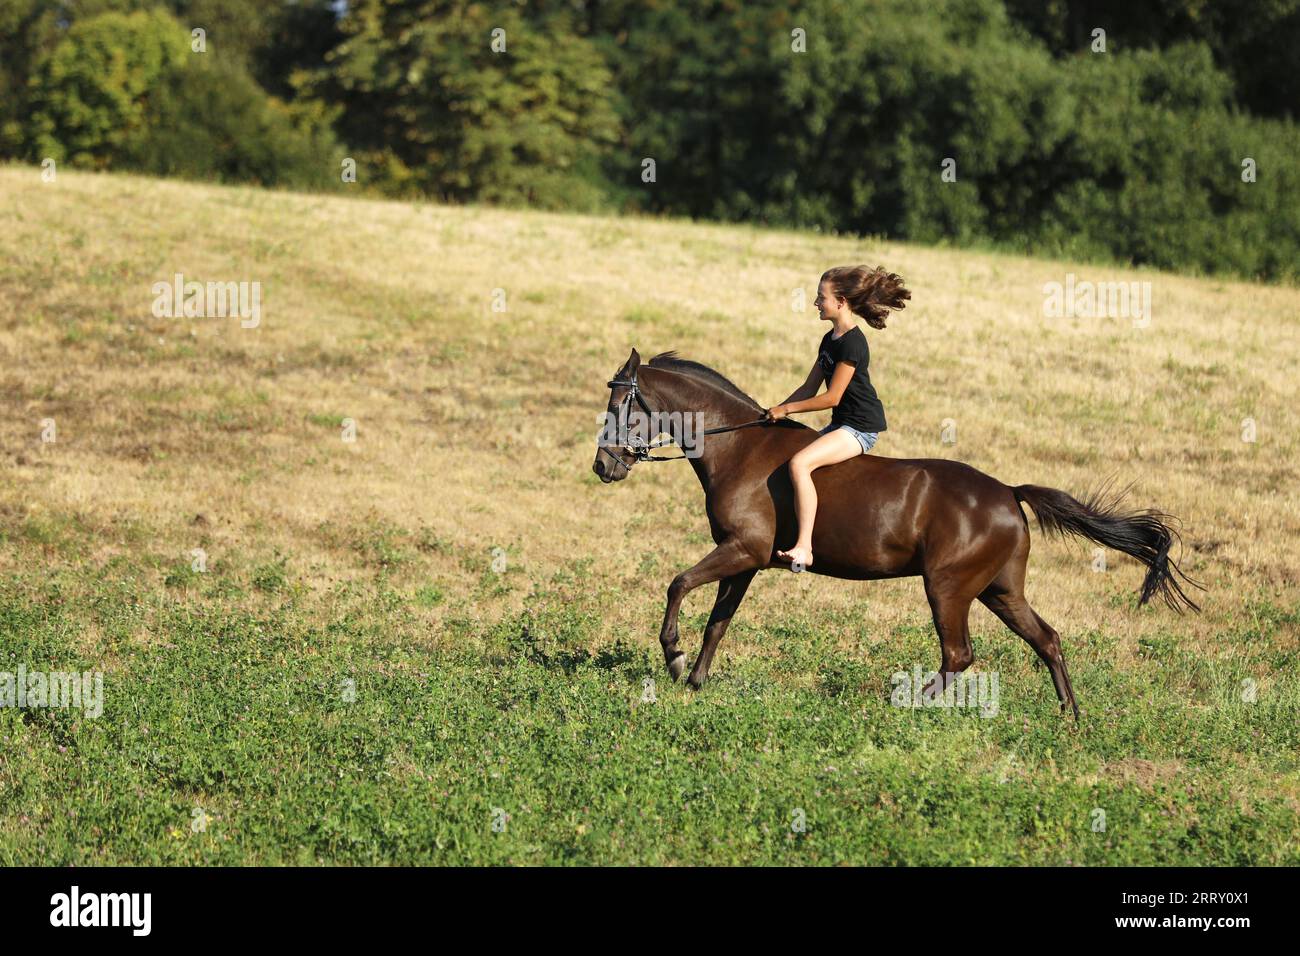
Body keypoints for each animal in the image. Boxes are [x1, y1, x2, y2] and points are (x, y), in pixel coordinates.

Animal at [591, 349, 1203, 718]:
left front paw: (672, 659)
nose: (603, 467)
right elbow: (718, 622)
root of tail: (1008, 492)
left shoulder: (741, 549)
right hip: (999, 590)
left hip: (948, 587)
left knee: (959, 653)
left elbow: (677, 584)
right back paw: (1070, 717)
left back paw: (909, 705)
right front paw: (694, 681)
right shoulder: (746, 558)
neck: (737, 446)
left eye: (621, 405)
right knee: (1046, 639)